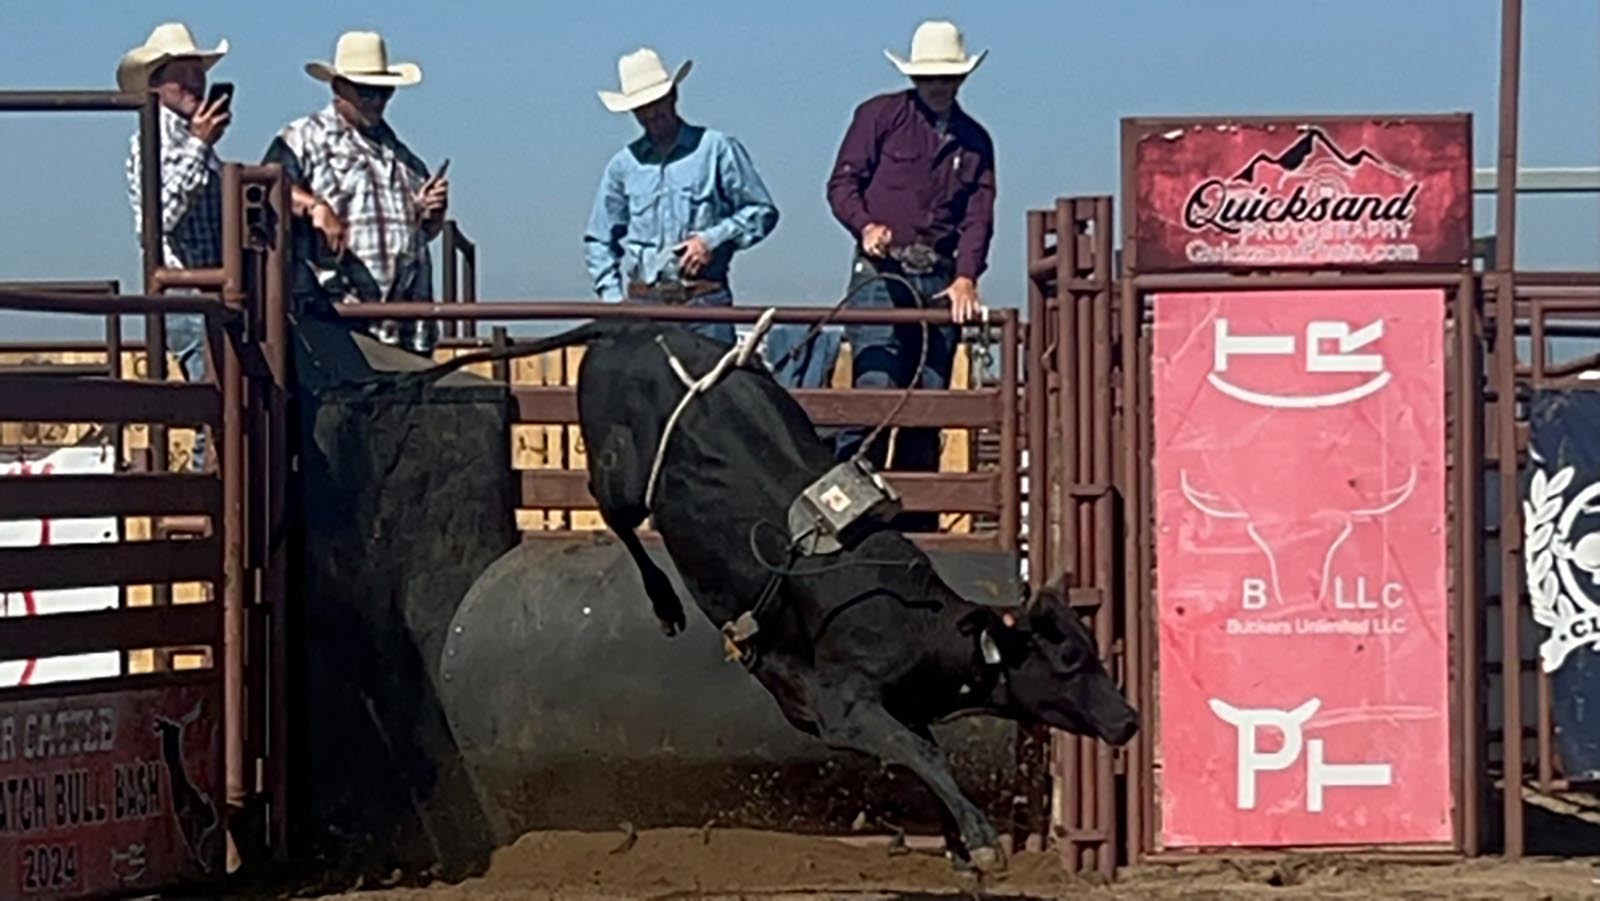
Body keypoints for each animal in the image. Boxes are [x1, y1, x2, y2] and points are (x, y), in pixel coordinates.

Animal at [417, 319, 1138, 872]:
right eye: (1067, 660)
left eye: (1090, 648)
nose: (1129, 719)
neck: (916, 623)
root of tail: (629, 327)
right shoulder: (843, 709)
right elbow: (924, 755)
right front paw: (983, 840)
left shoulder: (883, 711)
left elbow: (921, 757)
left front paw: (962, 845)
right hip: (620, 474)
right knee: (613, 507)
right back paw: (665, 605)